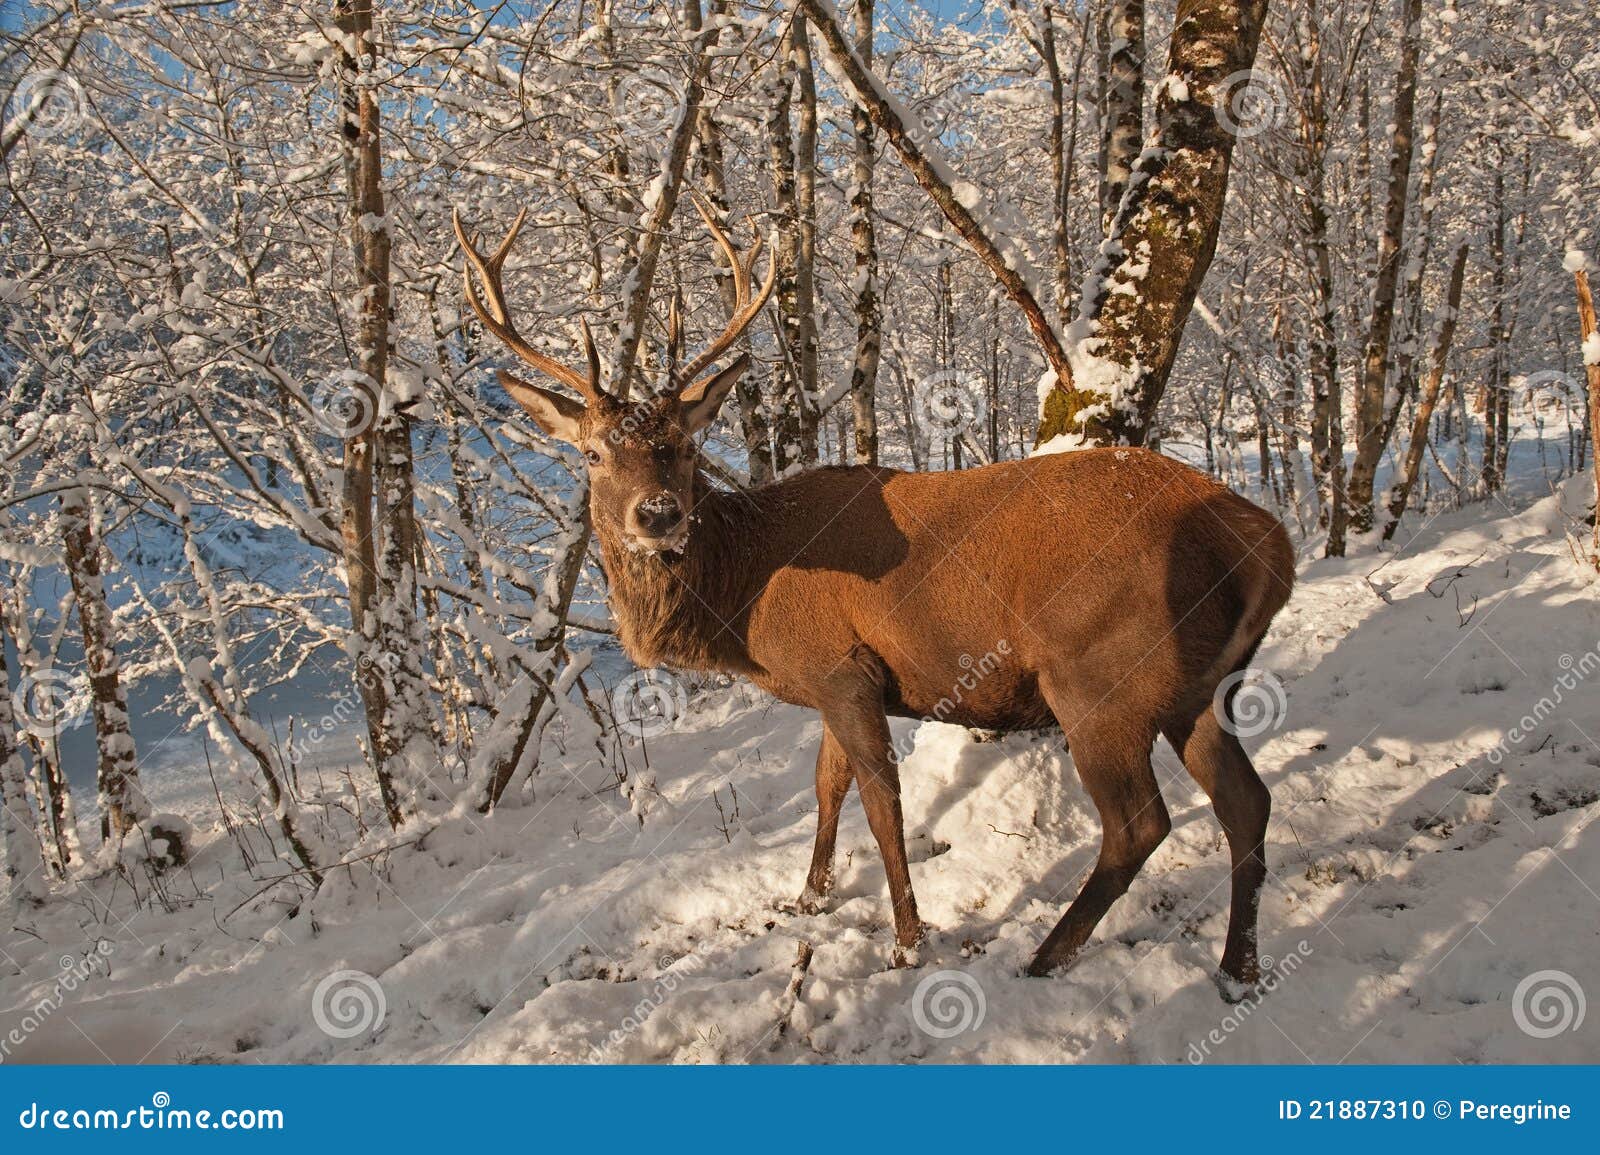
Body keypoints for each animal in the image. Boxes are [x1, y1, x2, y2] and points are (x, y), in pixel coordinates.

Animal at [452, 195, 1296, 992]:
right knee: (1246, 801)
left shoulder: (842, 667)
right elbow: (827, 787)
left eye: (684, 446)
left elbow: (882, 804)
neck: (746, 601)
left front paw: (909, 940)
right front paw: (808, 896)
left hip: (1100, 673)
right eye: (594, 453)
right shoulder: (837, 676)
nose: (658, 515)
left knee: (1139, 824)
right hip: (1196, 684)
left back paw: (1046, 954)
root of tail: (1266, 541)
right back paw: (1236, 967)